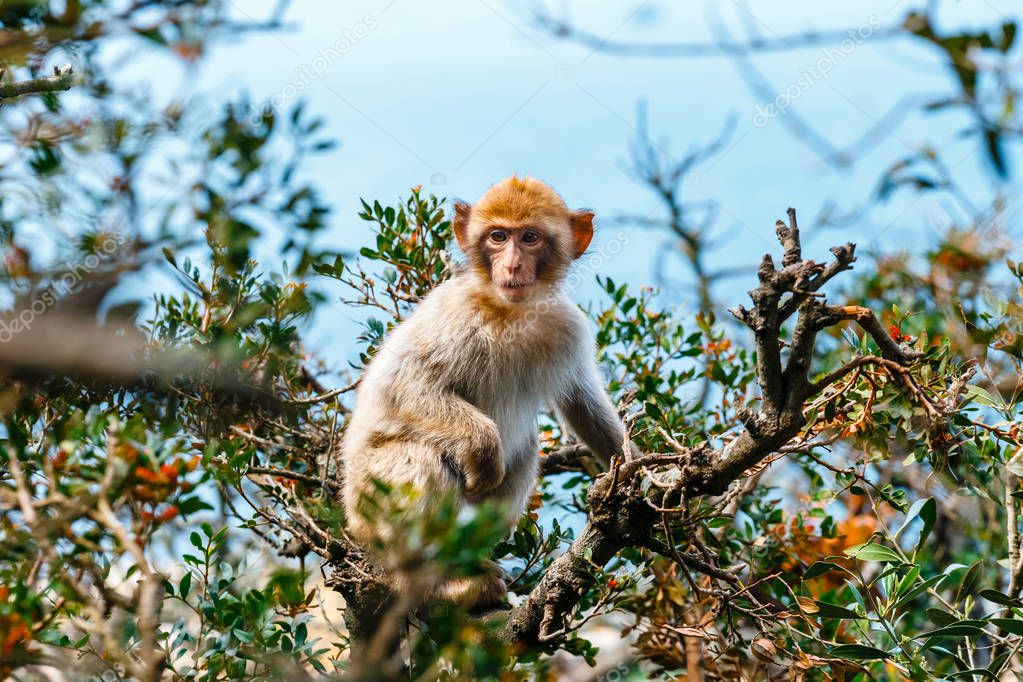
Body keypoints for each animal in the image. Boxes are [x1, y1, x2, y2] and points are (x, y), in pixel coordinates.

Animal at [341, 176, 633, 610]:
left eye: (530, 238)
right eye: (498, 237)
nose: (511, 265)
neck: (511, 311)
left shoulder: (567, 326)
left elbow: (584, 405)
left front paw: (638, 475)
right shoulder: (455, 314)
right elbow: (403, 384)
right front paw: (484, 453)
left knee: (526, 451)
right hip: (367, 506)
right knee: (421, 457)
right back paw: (437, 584)